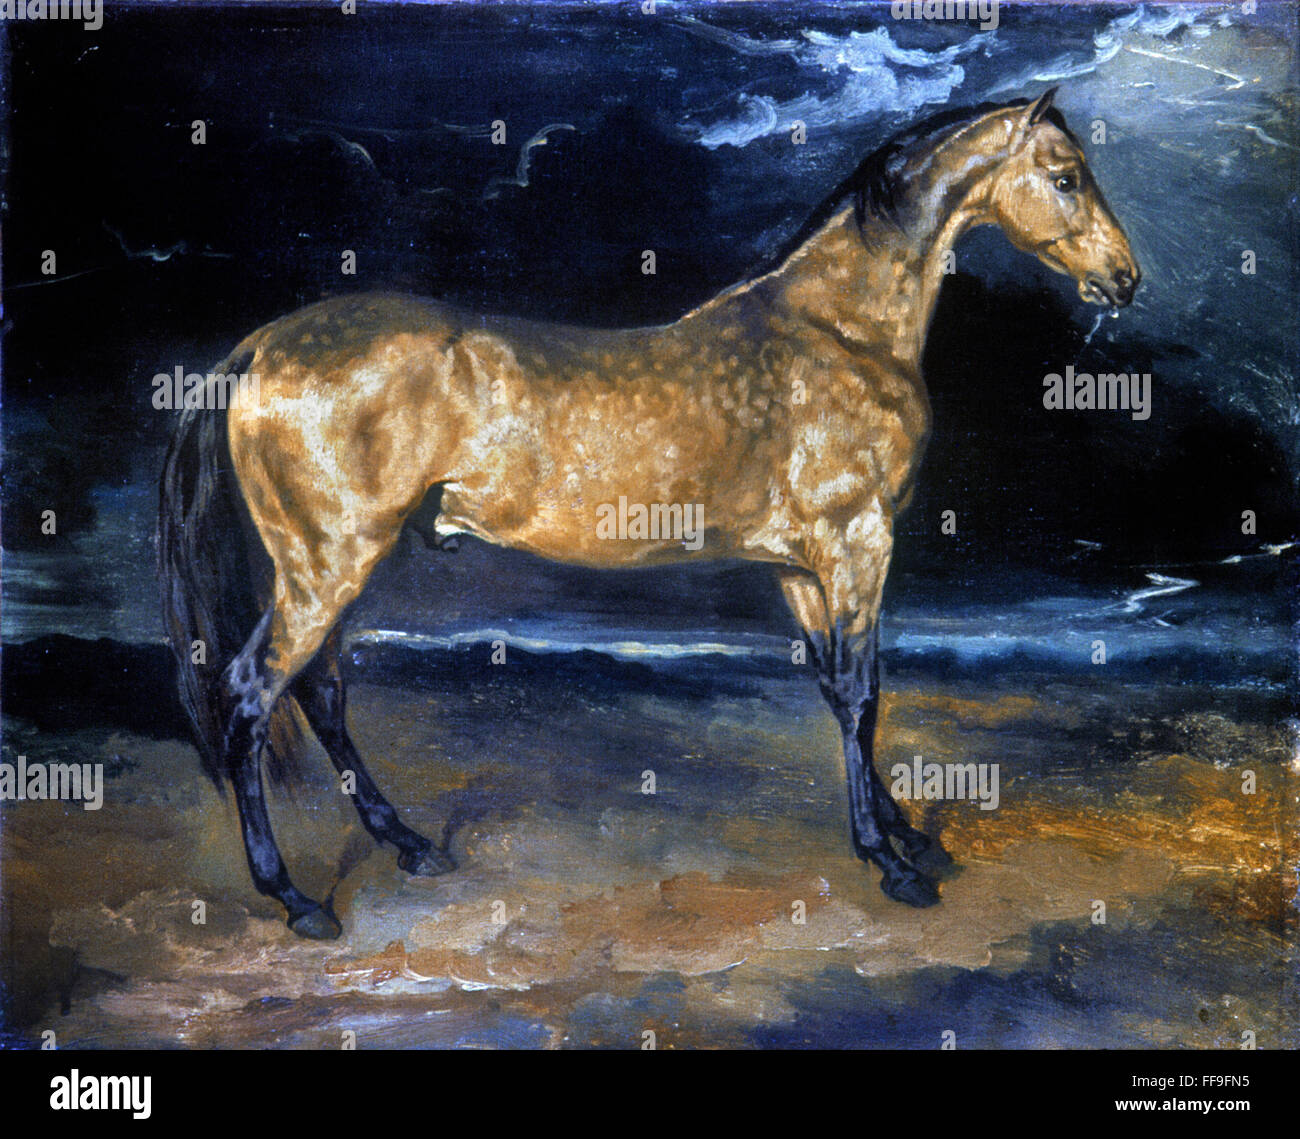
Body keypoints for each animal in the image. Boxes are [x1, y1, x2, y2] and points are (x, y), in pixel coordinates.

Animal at [159, 88, 1139, 939]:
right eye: (1065, 176)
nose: (1124, 280)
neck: (840, 332)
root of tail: (260, 347)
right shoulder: (857, 542)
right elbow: (864, 691)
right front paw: (892, 862)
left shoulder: (800, 565)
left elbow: (838, 688)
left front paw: (904, 834)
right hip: (326, 564)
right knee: (251, 694)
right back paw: (296, 899)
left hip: (339, 565)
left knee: (322, 691)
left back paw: (409, 846)